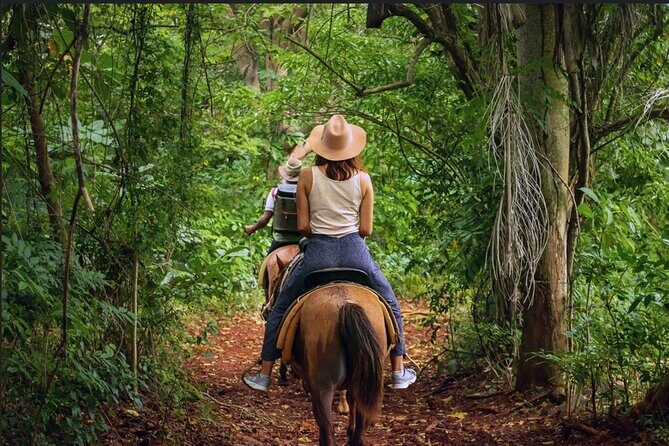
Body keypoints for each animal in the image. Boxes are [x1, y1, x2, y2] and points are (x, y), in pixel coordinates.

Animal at [269, 260, 387, 446]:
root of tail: (346, 303)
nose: (266, 309)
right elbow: (352, 399)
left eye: (275, 282)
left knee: (327, 429)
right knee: (360, 433)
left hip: (322, 385)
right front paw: (349, 430)